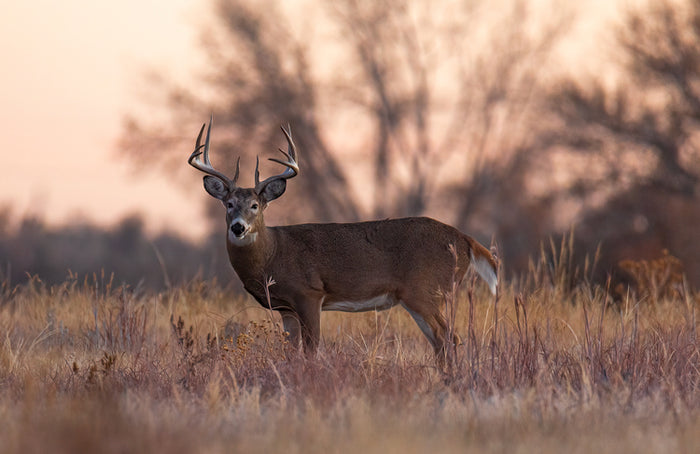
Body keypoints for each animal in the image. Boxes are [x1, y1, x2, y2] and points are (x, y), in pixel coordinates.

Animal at [188, 118, 498, 358]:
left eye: (255, 205)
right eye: (228, 204)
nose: (238, 227)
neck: (272, 254)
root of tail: (465, 239)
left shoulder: (309, 292)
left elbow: (311, 350)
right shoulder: (286, 307)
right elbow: (290, 353)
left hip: (426, 289)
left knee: (449, 338)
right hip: (424, 295)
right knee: (441, 341)